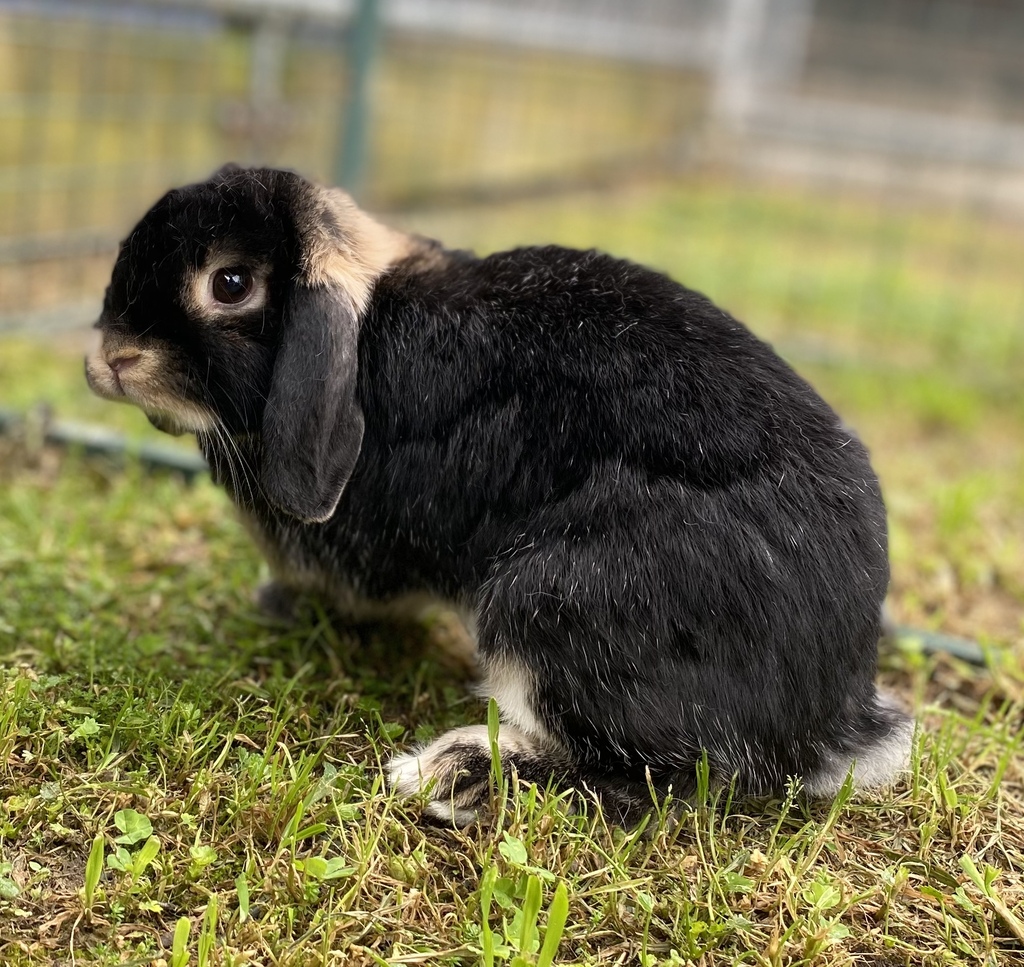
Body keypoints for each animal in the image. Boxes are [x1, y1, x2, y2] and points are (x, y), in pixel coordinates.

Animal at [86, 165, 912, 825]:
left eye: (230, 283)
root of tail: (833, 723)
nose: (107, 359)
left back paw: (446, 774)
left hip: (550, 600)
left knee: (659, 775)